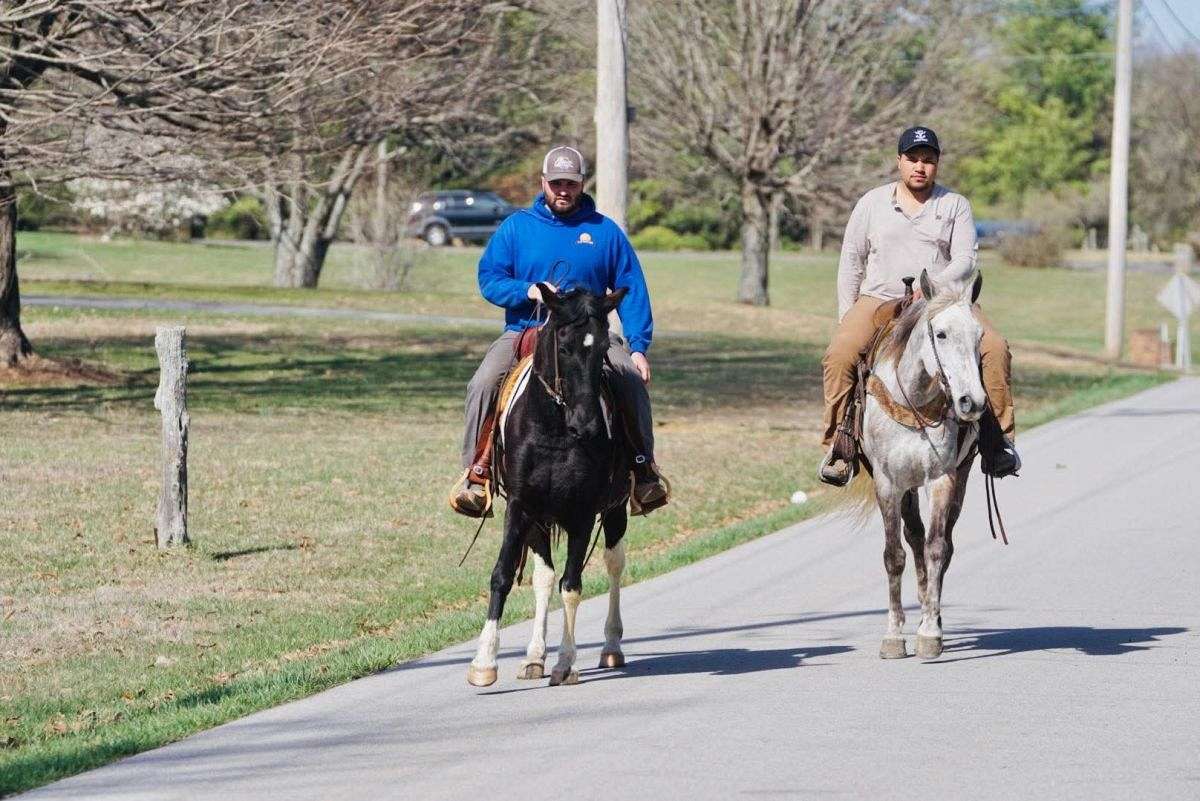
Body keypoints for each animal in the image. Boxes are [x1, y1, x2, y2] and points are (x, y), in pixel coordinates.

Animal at [467, 284, 633, 687]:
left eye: (603, 348)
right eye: (563, 345)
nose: (587, 424)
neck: (554, 430)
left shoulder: (583, 512)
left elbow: (572, 585)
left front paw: (566, 662)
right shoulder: (522, 507)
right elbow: (503, 576)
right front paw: (485, 662)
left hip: (616, 509)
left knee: (614, 563)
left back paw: (610, 646)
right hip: (540, 520)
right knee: (543, 577)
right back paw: (534, 656)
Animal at [856, 267, 986, 660]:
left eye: (979, 336)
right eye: (940, 334)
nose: (972, 402)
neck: (913, 401)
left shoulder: (944, 478)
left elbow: (937, 548)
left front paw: (930, 631)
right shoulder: (887, 483)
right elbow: (894, 555)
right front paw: (894, 636)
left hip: (960, 475)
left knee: (940, 544)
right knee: (912, 535)